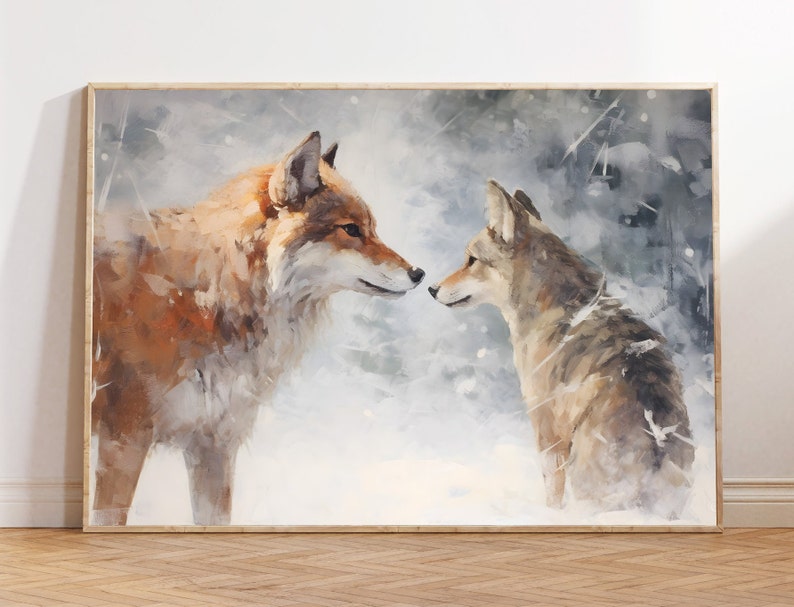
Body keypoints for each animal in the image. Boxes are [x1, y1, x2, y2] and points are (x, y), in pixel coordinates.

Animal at [91, 132, 425, 526]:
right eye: (351, 230)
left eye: (372, 228)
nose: (419, 274)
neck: (210, 294)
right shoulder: (123, 440)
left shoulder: (214, 444)